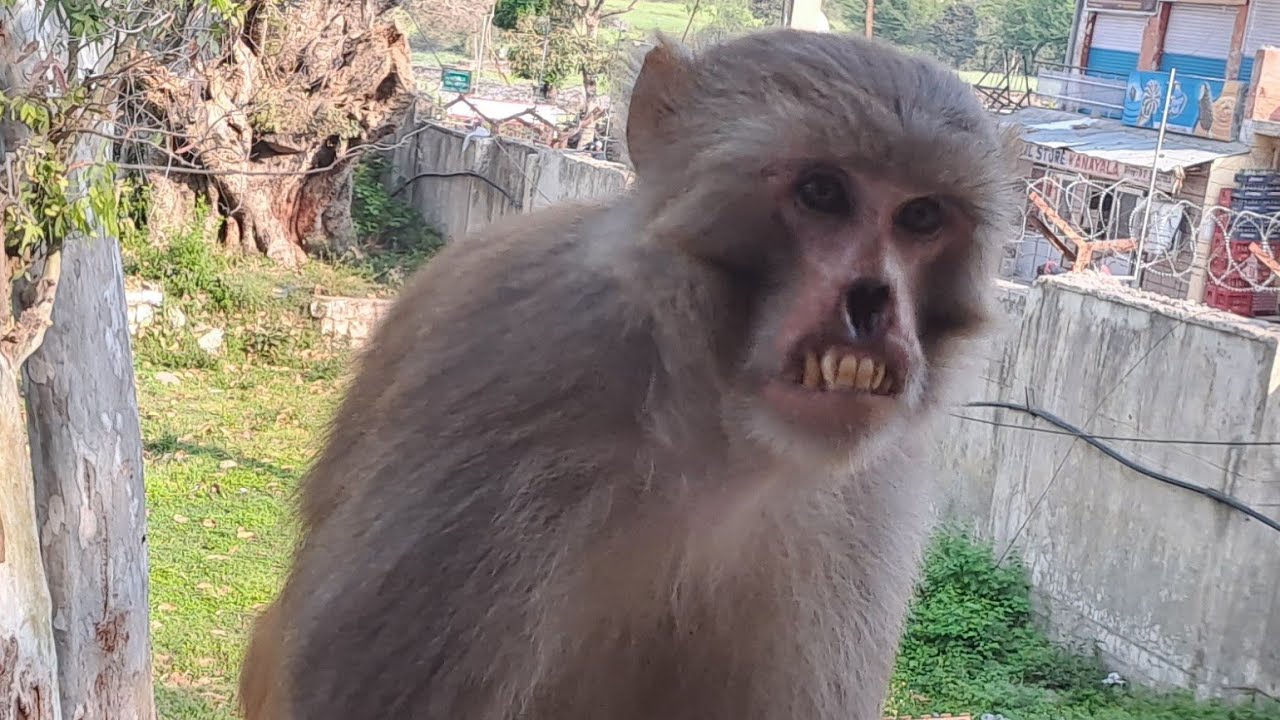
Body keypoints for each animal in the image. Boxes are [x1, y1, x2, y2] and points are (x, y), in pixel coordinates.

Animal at [238, 28, 1016, 720]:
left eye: (921, 216)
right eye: (822, 191)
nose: (874, 302)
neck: (715, 430)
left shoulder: (870, 487)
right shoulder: (514, 365)